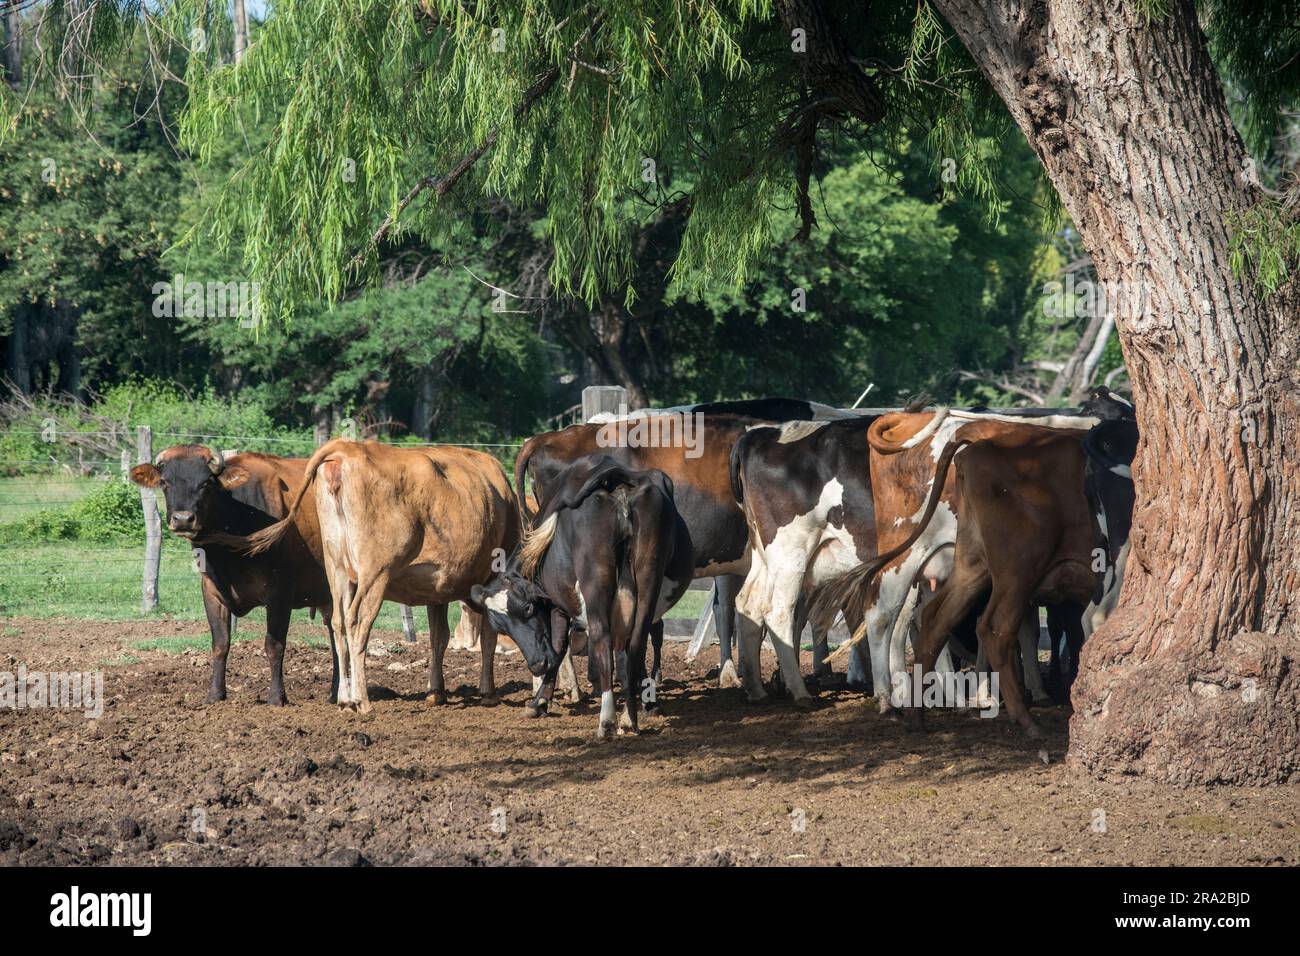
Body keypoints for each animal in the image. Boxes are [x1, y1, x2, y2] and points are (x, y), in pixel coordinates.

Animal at [128, 446, 335, 706]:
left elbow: (274, 645)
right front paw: (215, 694)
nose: (183, 519)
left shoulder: (280, 593)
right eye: (165, 482)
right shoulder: (211, 592)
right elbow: (220, 643)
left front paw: (276, 697)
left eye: (206, 482)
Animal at [216, 440, 519, 713]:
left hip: (338, 570)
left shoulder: (436, 590)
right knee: (357, 624)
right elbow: (488, 636)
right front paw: (488, 692)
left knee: (339, 624)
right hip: (375, 574)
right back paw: (361, 701)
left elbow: (439, 637)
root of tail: (345, 449)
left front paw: (437, 692)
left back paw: (343, 699)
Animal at [469, 456, 693, 738]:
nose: (537, 664)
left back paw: (607, 720)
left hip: (595, 582)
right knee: (636, 642)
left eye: (528, 608)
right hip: (648, 577)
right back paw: (628, 719)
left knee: (602, 637)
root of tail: (619, 484)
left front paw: (539, 701)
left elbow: (558, 647)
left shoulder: (559, 606)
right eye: (502, 628)